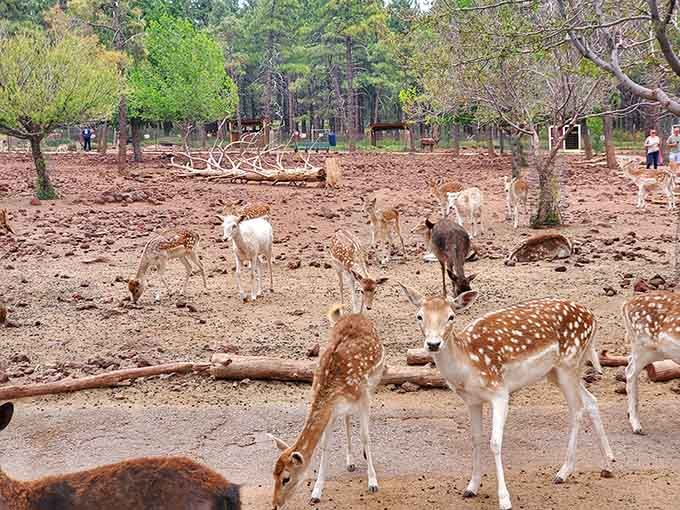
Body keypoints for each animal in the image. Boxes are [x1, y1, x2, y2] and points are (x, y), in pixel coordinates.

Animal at [269, 304, 385, 509]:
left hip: (375, 378)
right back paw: (350, 461)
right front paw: (316, 493)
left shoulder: (364, 397)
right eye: (273, 474)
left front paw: (372, 482)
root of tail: (356, 315)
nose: (275, 504)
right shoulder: (331, 410)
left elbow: (365, 437)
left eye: (286, 479)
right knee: (347, 418)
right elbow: (325, 445)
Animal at [398, 287, 615, 510]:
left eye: (451, 316)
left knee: (577, 409)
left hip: (568, 363)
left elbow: (495, 442)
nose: (433, 344)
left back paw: (563, 472)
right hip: (555, 372)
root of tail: (592, 316)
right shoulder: (471, 400)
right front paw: (471, 487)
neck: (467, 368)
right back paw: (608, 464)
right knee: (591, 400)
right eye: (419, 316)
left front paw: (504, 499)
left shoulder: (500, 392)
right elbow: (476, 439)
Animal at [622, 291, 680, 435]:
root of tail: (626, 304)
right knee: (630, 372)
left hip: (655, 351)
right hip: (644, 345)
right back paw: (636, 425)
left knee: (629, 362)